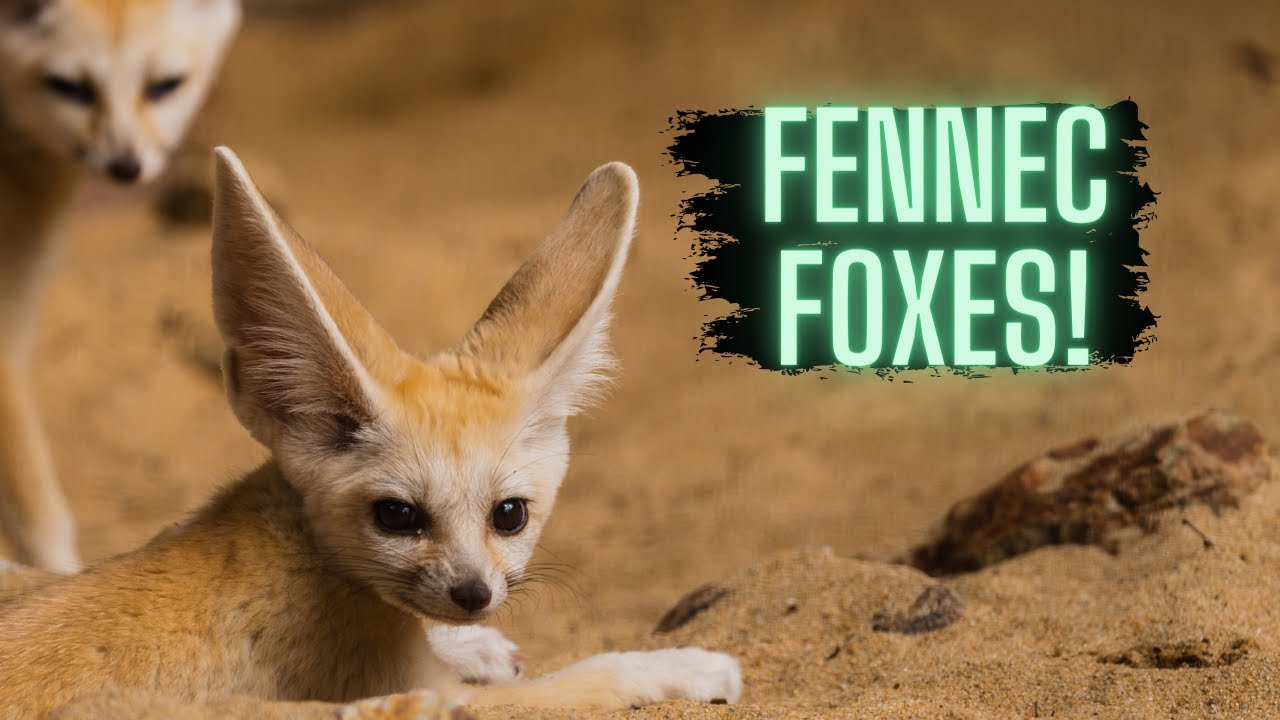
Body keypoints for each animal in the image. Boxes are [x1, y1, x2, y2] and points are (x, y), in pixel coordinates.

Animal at [0, 147, 743, 718]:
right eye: (397, 516)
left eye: (510, 515)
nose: (474, 596)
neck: (300, 554)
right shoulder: (424, 692)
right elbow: (585, 678)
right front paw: (679, 666)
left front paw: (471, 643)